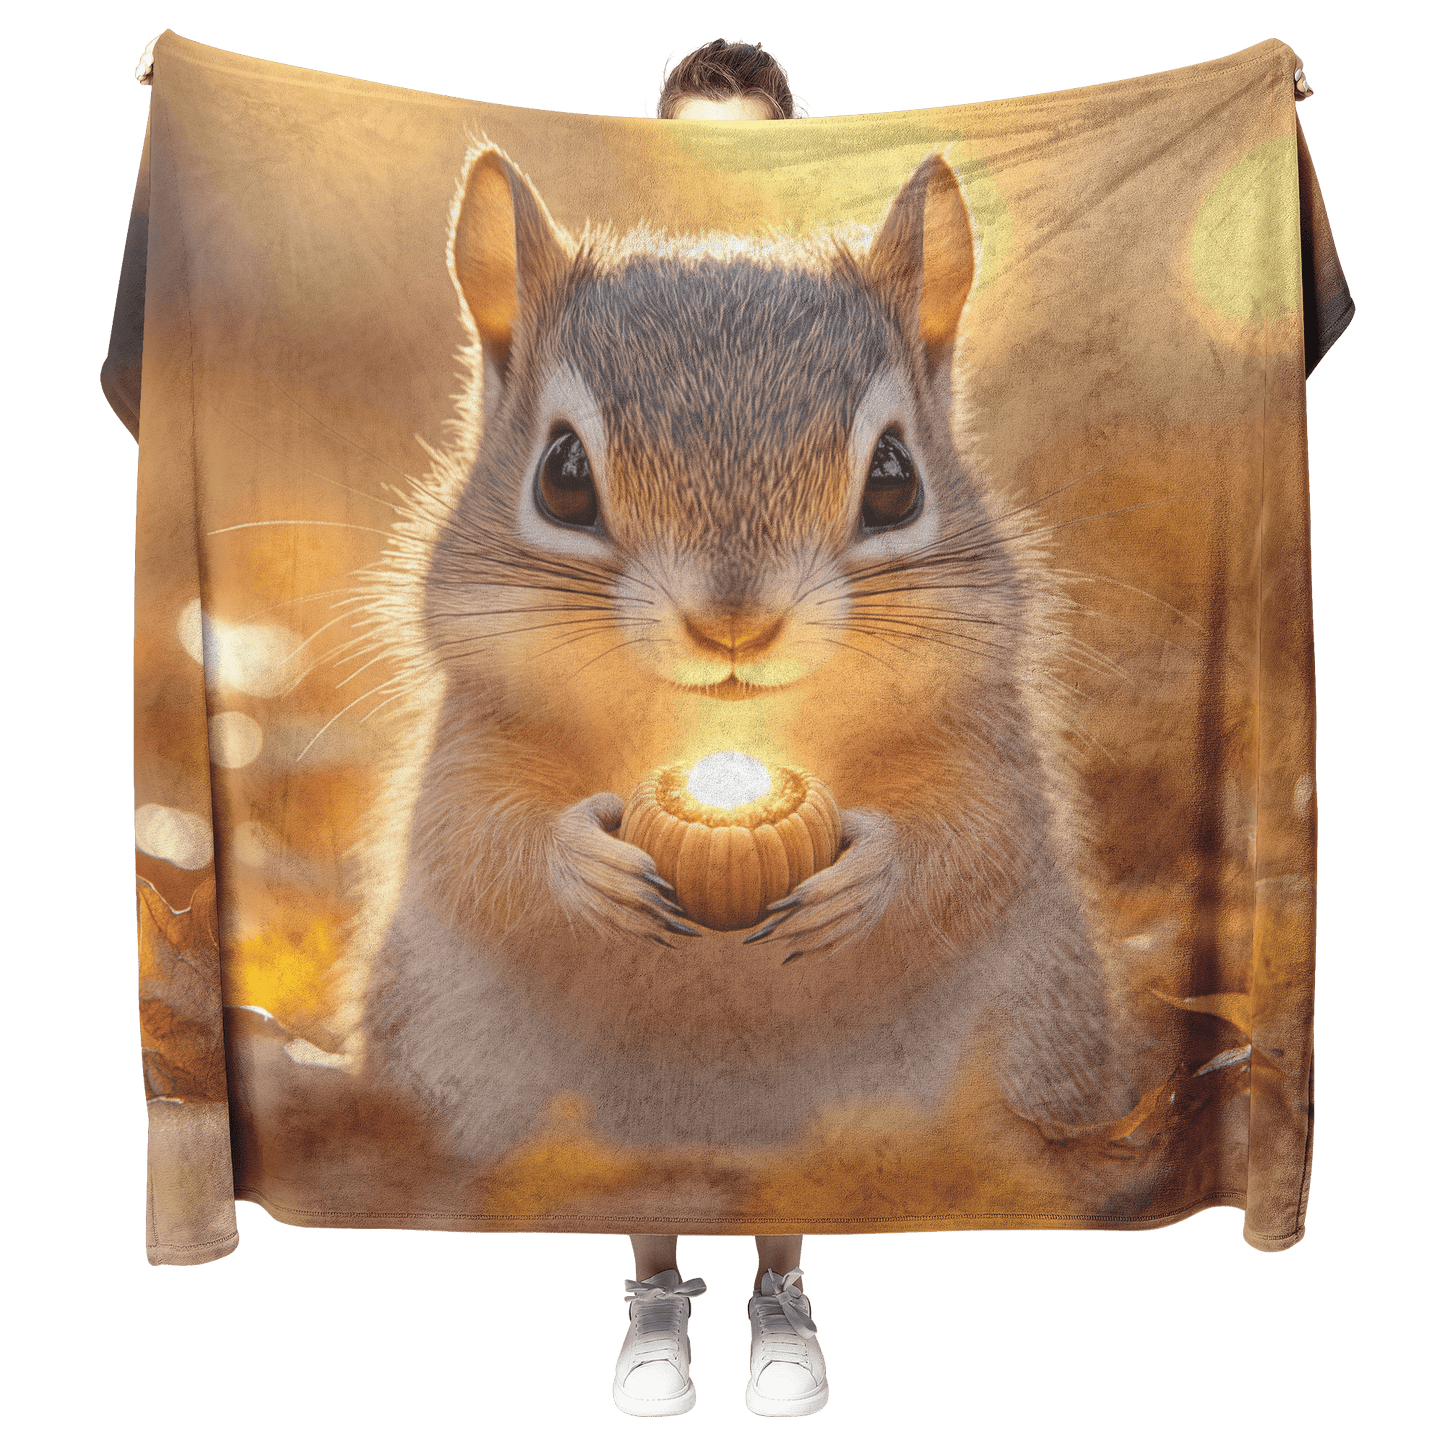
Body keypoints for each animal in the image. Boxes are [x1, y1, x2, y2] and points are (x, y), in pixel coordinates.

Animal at [322, 141, 1141, 1162]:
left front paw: (872, 874)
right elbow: (474, 840)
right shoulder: (478, 729)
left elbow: (975, 841)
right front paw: (577, 863)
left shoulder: (979, 734)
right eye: (561, 475)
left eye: (895, 480)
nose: (734, 624)